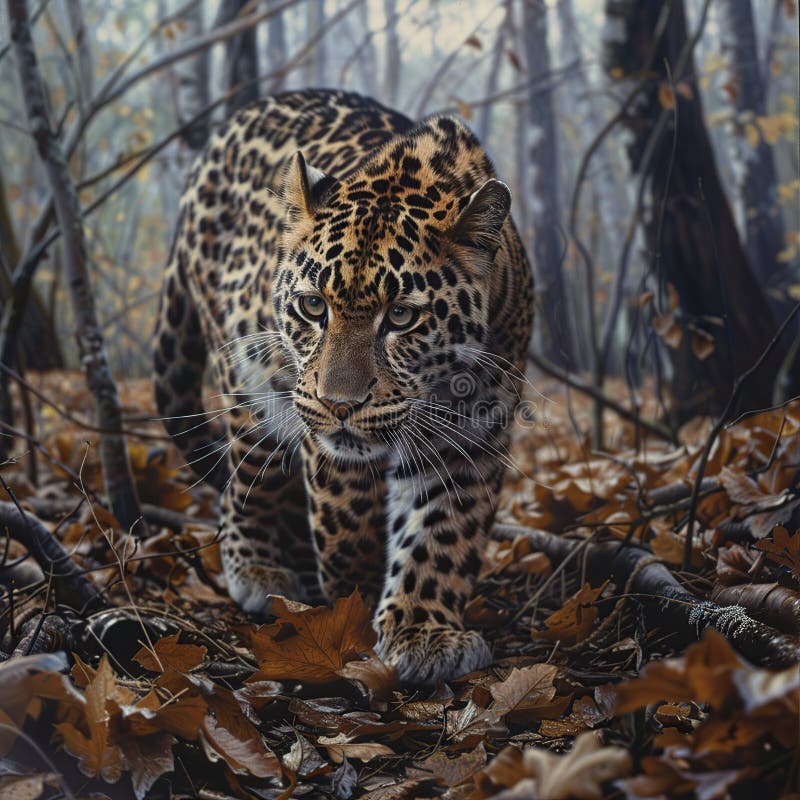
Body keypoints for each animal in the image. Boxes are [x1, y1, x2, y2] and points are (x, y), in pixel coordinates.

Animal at [154, 89, 534, 686]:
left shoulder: (471, 435)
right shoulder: (324, 436)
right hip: (247, 371)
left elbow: (442, 531)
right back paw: (260, 565)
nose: (340, 405)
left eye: (401, 316)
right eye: (314, 306)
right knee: (249, 471)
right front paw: (350, 603)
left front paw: (423, 631)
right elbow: (347, 523)